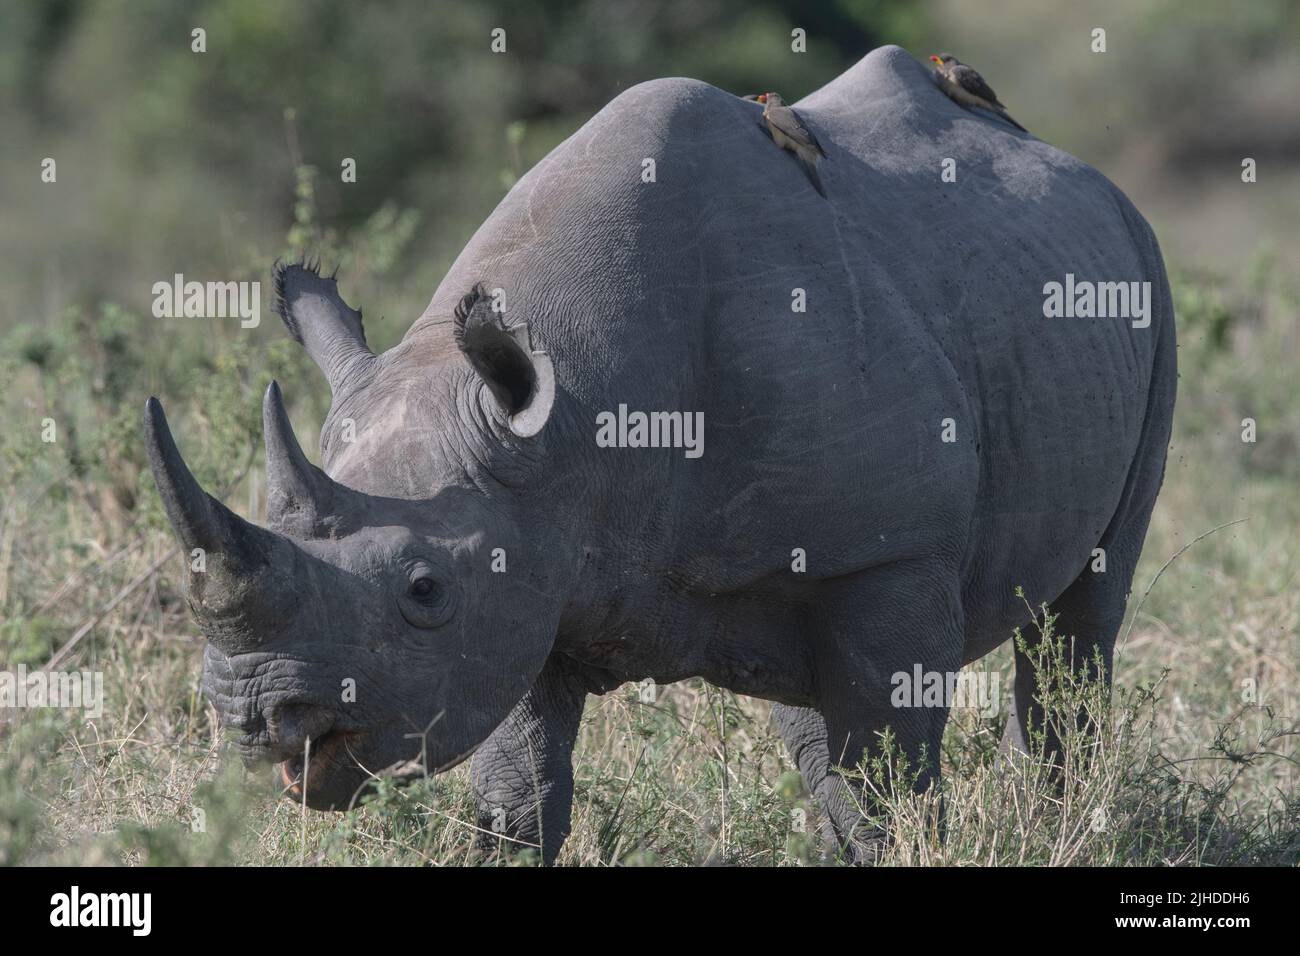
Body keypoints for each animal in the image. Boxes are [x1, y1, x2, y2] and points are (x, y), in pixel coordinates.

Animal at [144, 46, 1176, 863]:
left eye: (424, 591)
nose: (258, 717)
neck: (574, 425)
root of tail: (1074, 164)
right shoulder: (529, 558)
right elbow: (519, 793)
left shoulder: (895, 554)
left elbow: (893, 765)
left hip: (1146, 275)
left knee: (1084, 614)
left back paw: (1059, 818)